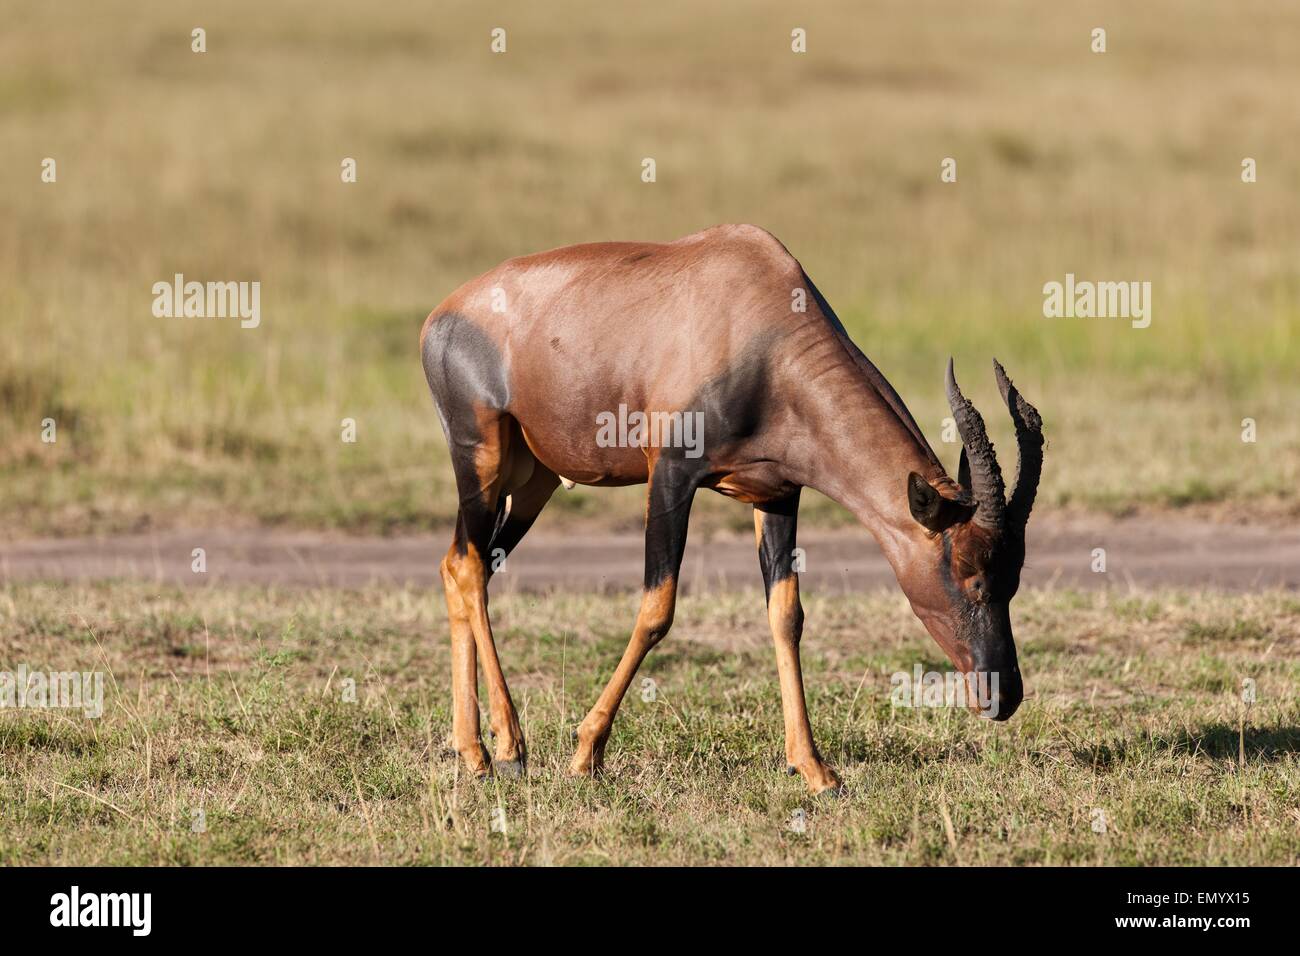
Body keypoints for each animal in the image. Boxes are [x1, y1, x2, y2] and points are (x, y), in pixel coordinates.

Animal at [421, 223, 1044, 795]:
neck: (757, 324)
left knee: (458, 565)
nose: (1004, 696)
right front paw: (586, 752)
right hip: (480, 456)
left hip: (535, 479)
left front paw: (815, 769)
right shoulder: (670, 476)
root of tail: (441, 315)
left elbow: (786, 615)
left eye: (1015, 577)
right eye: (972, 577)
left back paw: (473, 748)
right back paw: (504, 749)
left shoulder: (777, 493)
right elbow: (657, 610)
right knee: (471, 566)